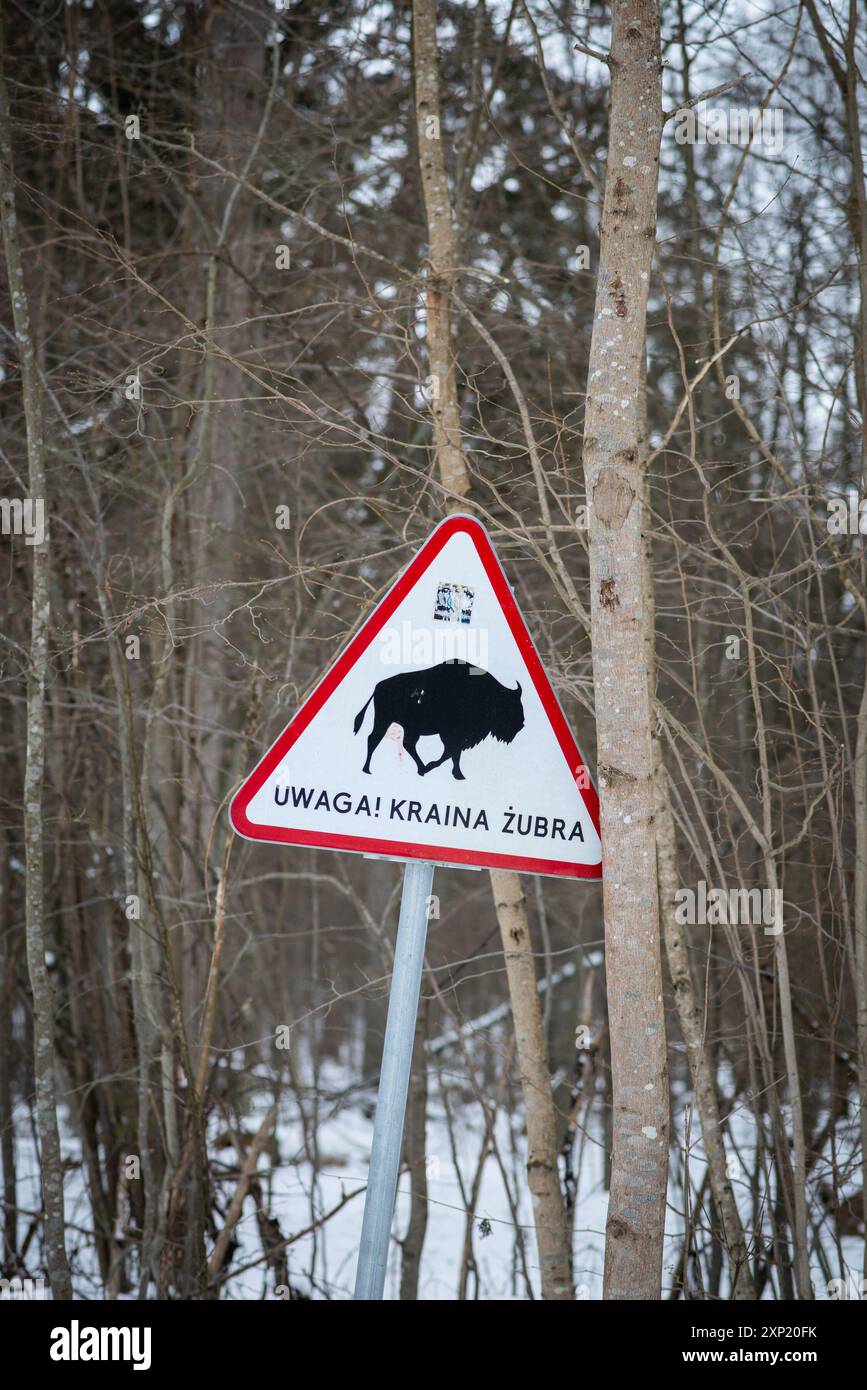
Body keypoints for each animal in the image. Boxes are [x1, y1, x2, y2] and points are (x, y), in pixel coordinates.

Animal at [353, 659, 524, 780]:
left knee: (405, 744)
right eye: (510, 705)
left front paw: (459, 775)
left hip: (407, 727)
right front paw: (434, 767)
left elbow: (454, 754)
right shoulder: (451, 734)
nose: (521, 724)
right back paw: (369, 769)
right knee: (374, 739)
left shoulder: (459, 736)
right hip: (384, 721)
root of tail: (378, 687)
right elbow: (450, 752)